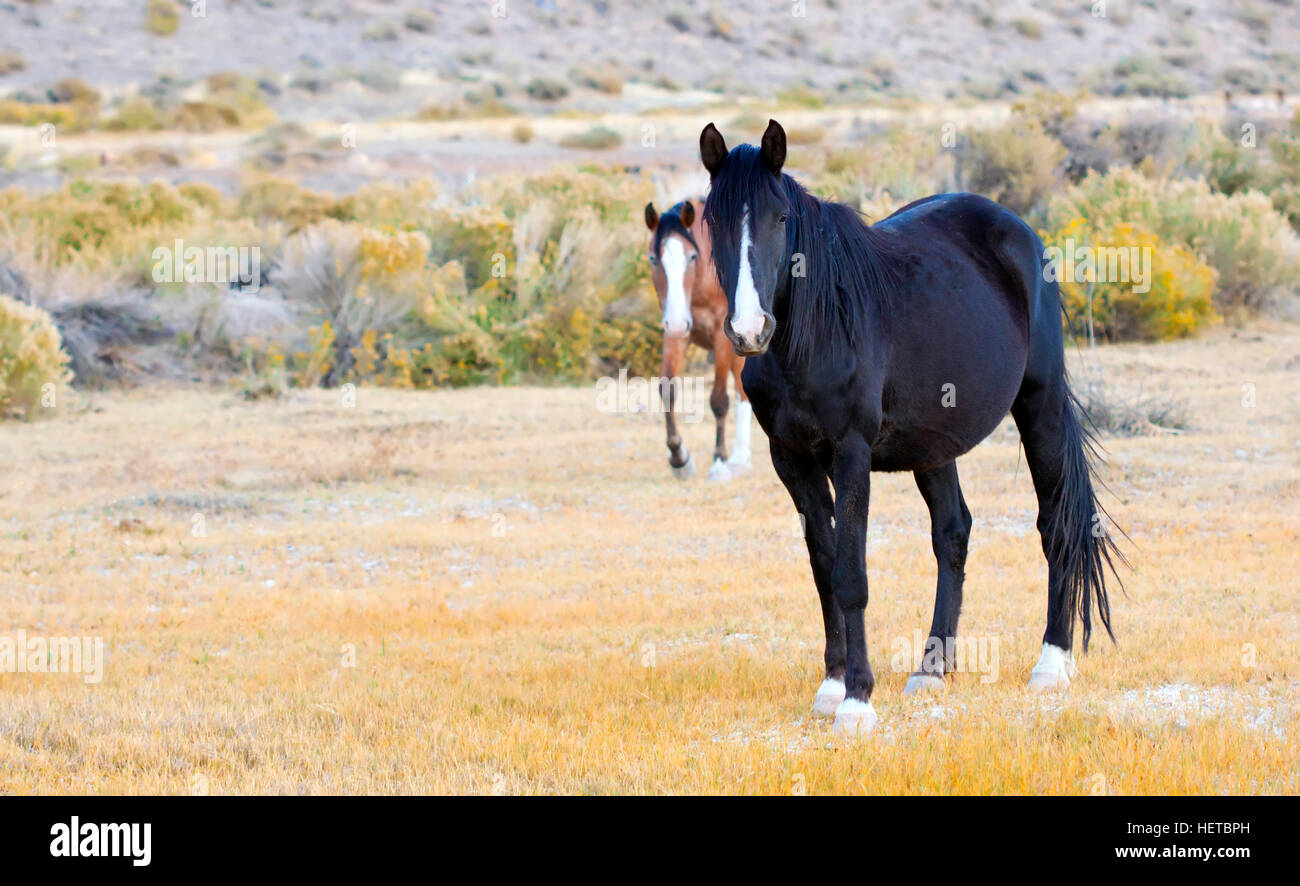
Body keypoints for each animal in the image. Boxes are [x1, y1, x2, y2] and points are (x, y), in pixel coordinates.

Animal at [644, 199, 753, 481]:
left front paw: (719, 460)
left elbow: (719, 400)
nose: (676, 322)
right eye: (653, 258)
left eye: (692, 257)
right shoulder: (675, 334)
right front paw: (679, 458)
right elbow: (668, 390)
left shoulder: (722, 338)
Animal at [698, 120, 1125, 736]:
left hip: (1038, 407)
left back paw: (1051, 664)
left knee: (1056, 526)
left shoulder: (850, 454)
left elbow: (851, 575)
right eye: (714, 221)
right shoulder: (791, 459)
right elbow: (824, 568)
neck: (815, 331)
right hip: (934, 447)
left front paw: (857, 702)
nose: (749, 329)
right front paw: (831, 686)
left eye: (780, 217)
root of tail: (1017, 229)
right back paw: (932, 668)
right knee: (953, 533)